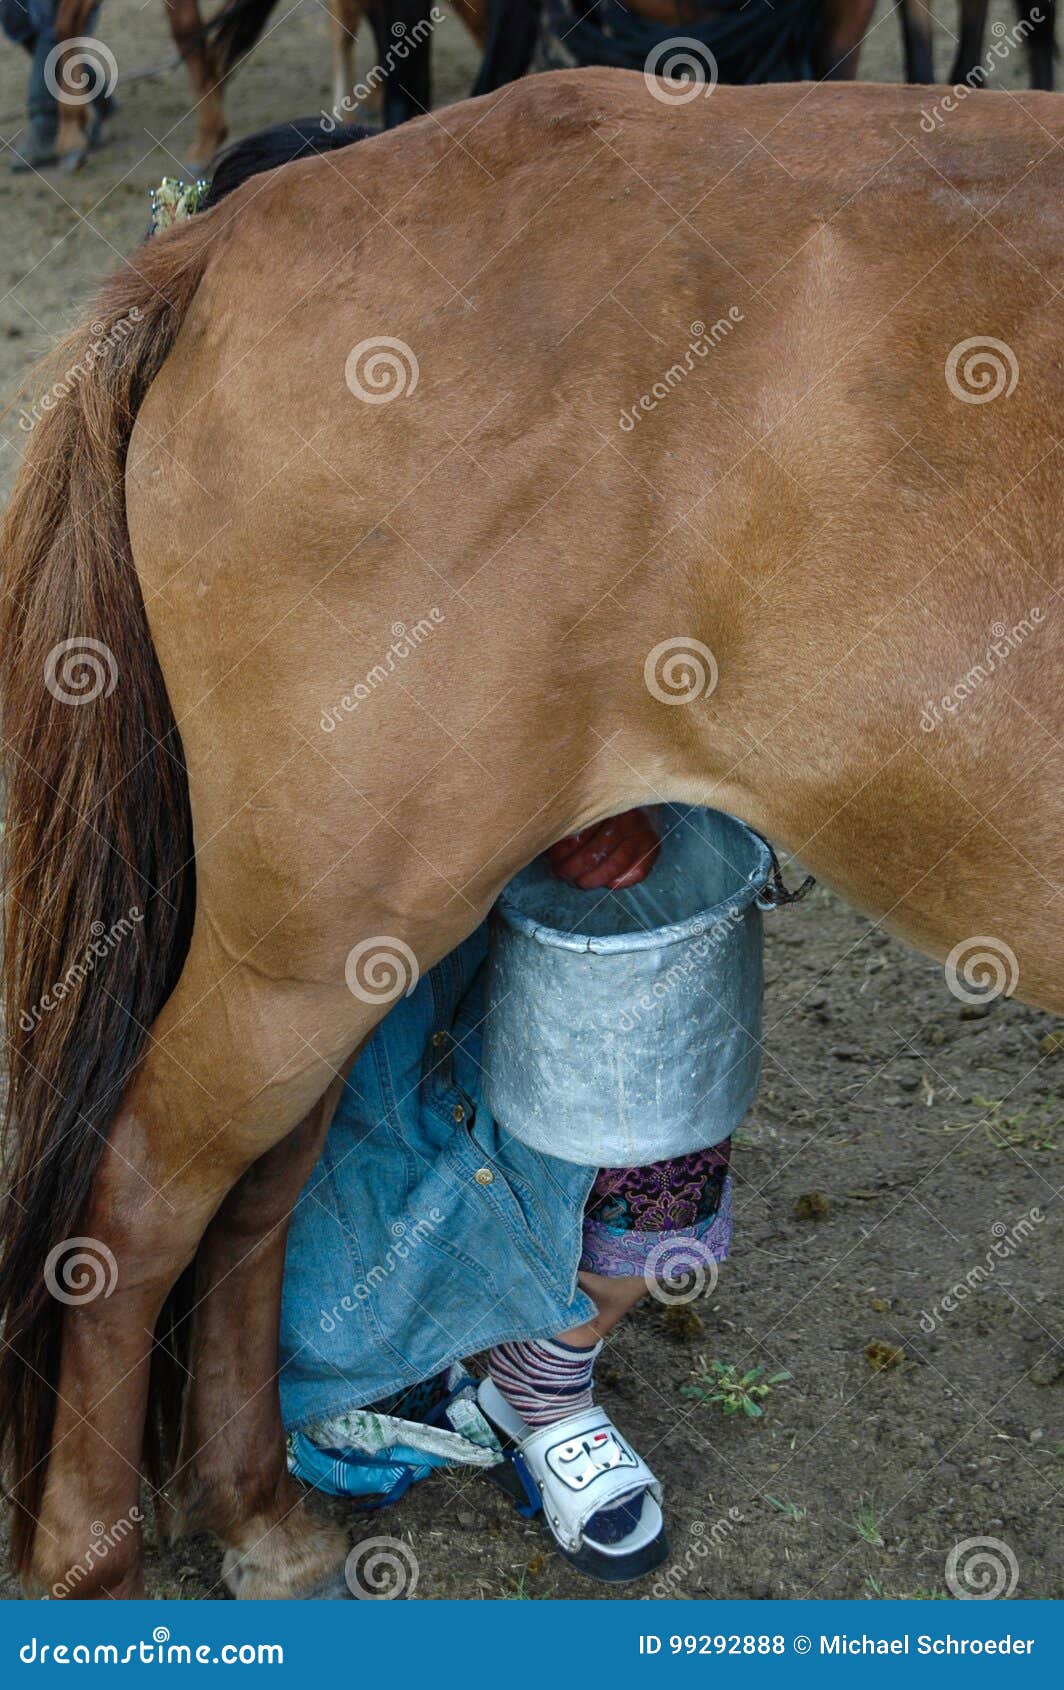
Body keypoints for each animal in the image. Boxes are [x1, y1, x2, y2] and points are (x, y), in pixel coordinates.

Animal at [1, 69, 1061, 1599]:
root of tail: (226, 239)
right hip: (310, 937)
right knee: (140, 1195)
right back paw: (91, 1558)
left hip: (339, 941)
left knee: (258, 1196)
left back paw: (254, 1509)